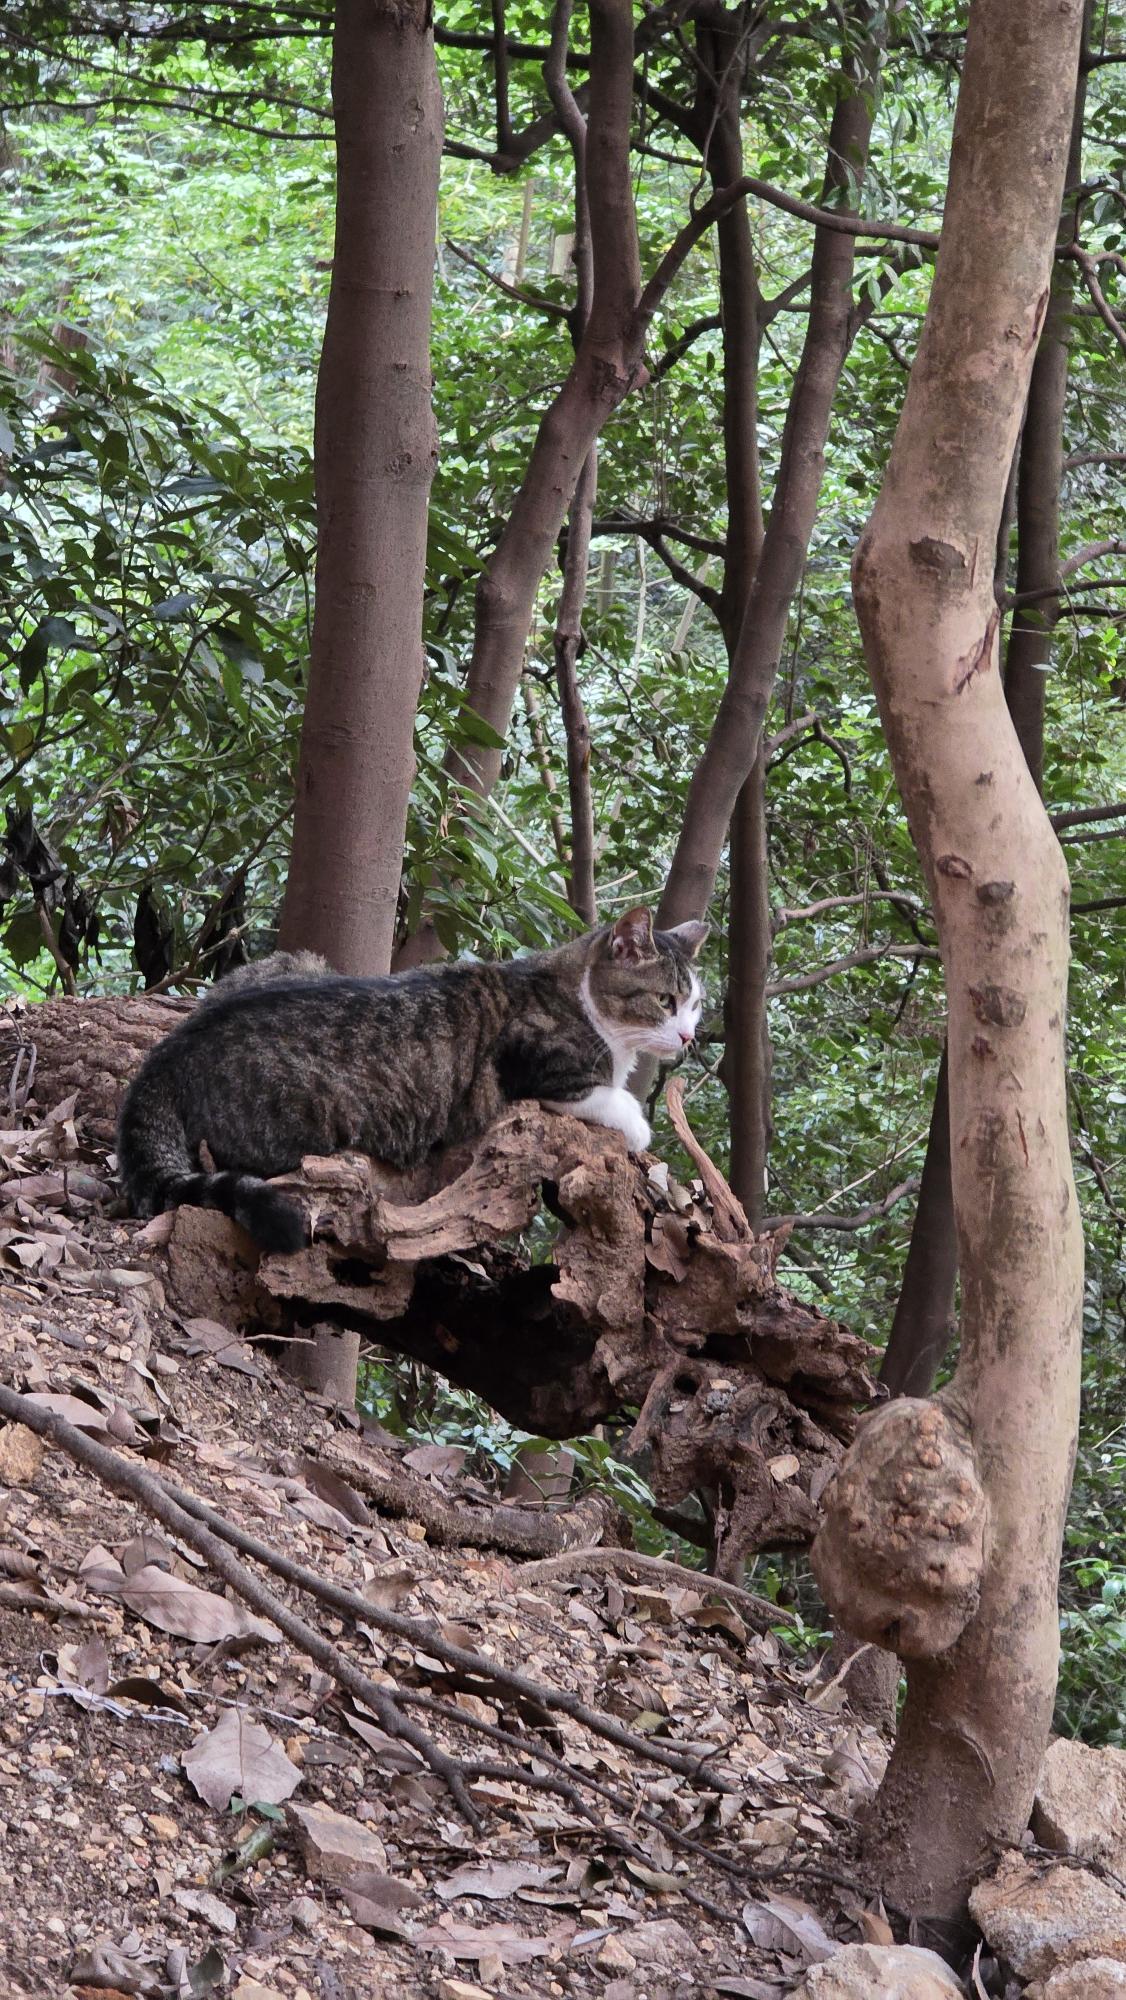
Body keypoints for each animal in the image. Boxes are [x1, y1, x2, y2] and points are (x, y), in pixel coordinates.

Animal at [119, 908, 708, 1248]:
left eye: (696, 1005)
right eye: (665, 1001)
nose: (686, 1037)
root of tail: (167, 1059)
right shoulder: (540, 1067)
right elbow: (610, 1100)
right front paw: (638, 1125)